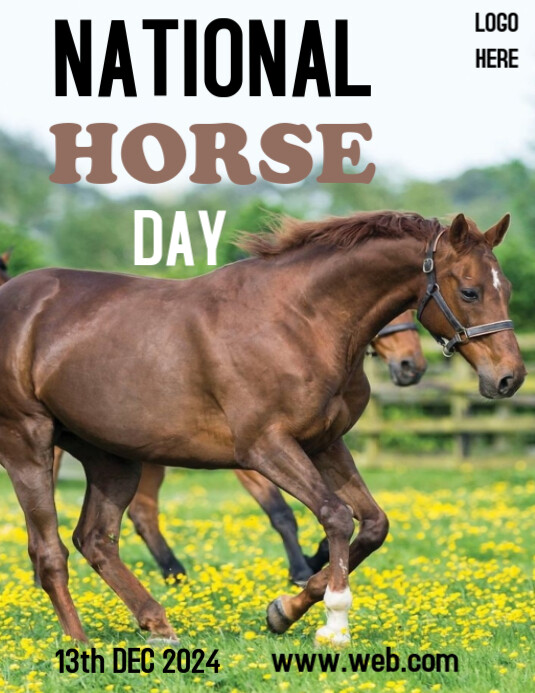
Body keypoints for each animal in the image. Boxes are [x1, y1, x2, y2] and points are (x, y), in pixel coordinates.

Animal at [0, 211, 524, 646]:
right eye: (470, 290)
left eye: (508, 290)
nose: (509, 378)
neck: (299, 321)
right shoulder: (264, 448)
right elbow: (333, 515)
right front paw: (334, 622)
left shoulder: (324, 444)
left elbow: (373, 525)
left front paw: (284, 610)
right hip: (28, 443)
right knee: (50, 550)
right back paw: (79, 642)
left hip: (113, 458)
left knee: (96, 539)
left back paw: (160, 624)